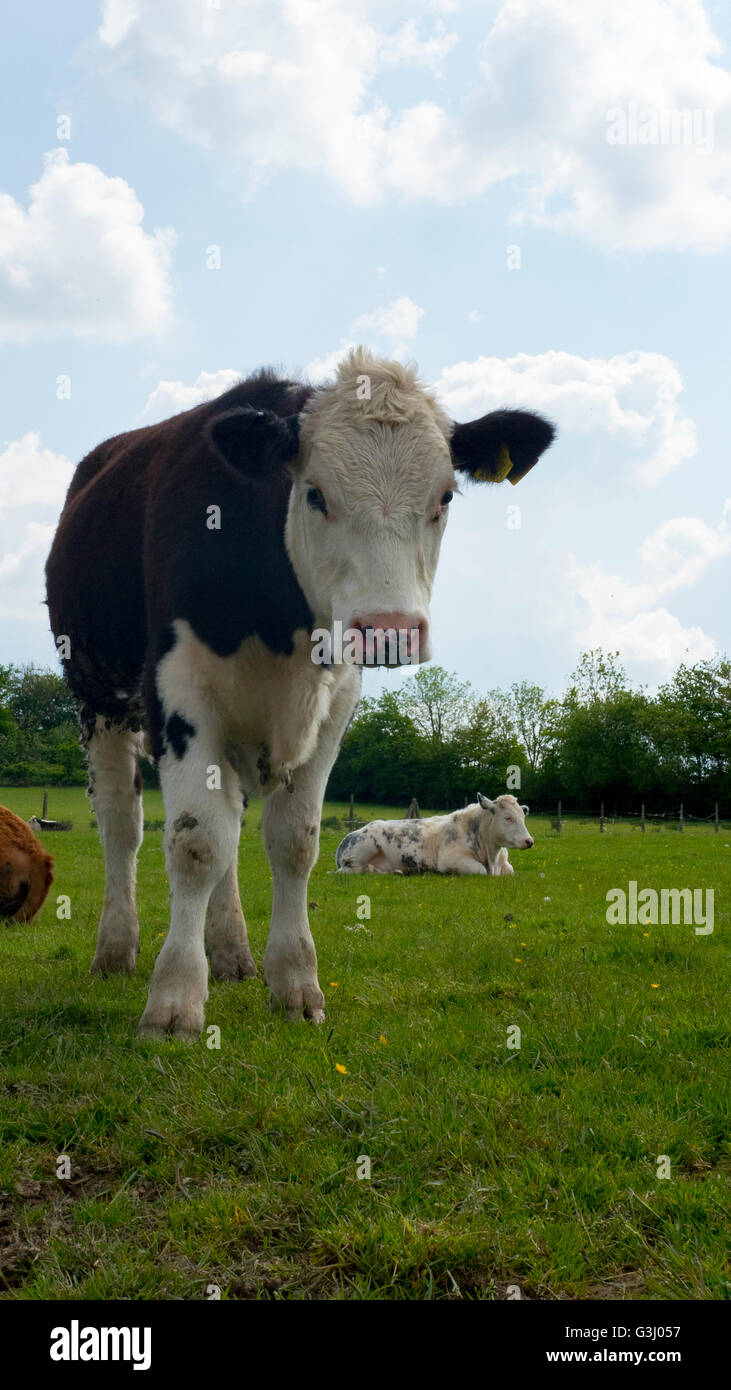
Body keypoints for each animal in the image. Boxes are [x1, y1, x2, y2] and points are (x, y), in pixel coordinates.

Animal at [336, 794, 533, 877]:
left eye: (523, 816)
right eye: (508, 817)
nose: (529, 841)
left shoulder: (505, 866)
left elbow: (510, 871)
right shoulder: (450, 860)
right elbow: (481, 870)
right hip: (362, 850)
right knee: (348, 870)